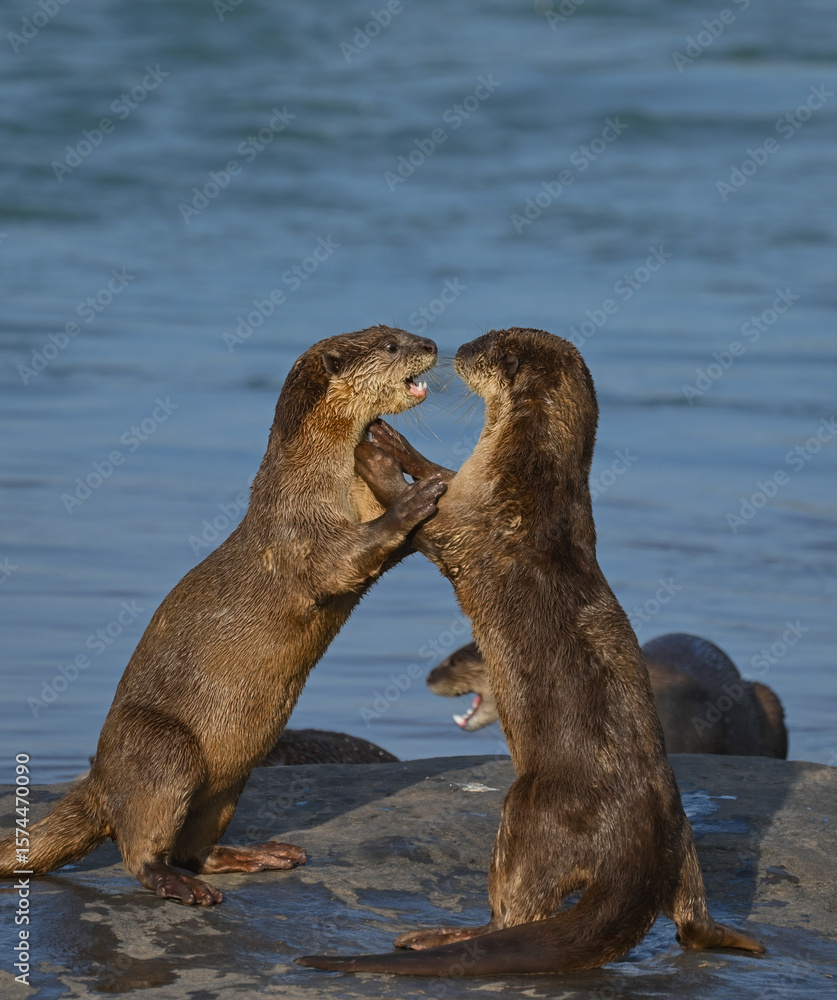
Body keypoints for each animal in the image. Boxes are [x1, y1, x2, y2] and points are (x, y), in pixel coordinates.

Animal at [0, 326, 444, 906]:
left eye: (404, 333)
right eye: (391, 345)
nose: (431, 344)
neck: (316, 474)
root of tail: (99, 783)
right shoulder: (299, 527)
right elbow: (341, 560)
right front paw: (417, 495)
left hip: (229, 786)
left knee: (195, 846)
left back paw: (259, 855)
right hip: (163, 750)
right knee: (139, 848)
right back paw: (180, 885)